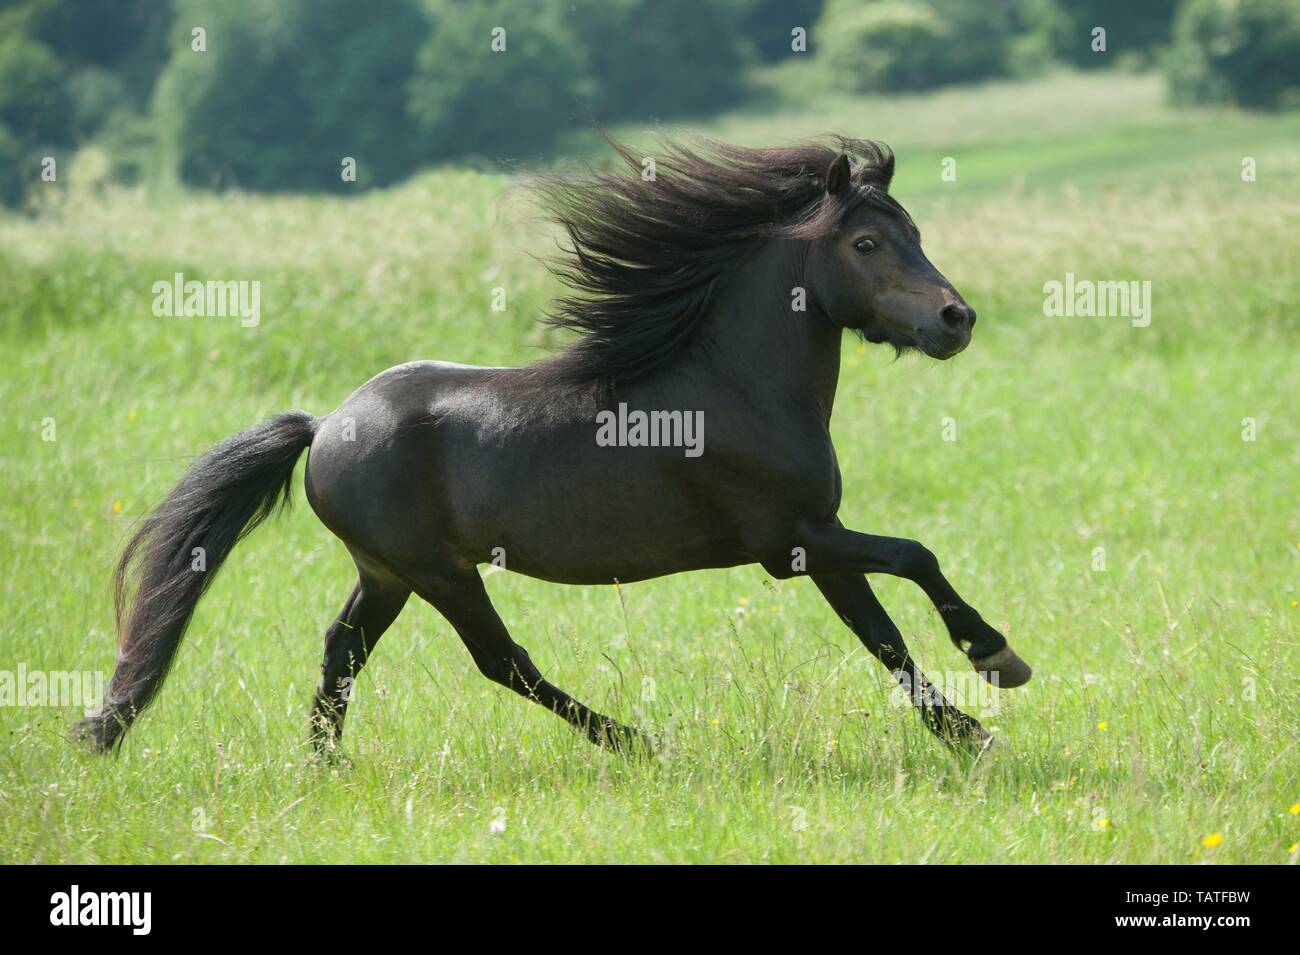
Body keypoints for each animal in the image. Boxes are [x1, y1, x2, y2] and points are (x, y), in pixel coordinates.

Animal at [76, 135, 1032, 758]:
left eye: (915, 231)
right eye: (866, 241)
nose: (956, 319)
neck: (736, 383)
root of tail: (324, 427)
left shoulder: (817, 540)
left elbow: (882, 634)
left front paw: (965, 732)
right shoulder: (788, 541)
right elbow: (915, 555)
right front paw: (997, 661)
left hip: (386, 572)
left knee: (342, 649)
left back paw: (323, 765)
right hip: (438, 571)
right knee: (503, 661)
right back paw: (641, 742)